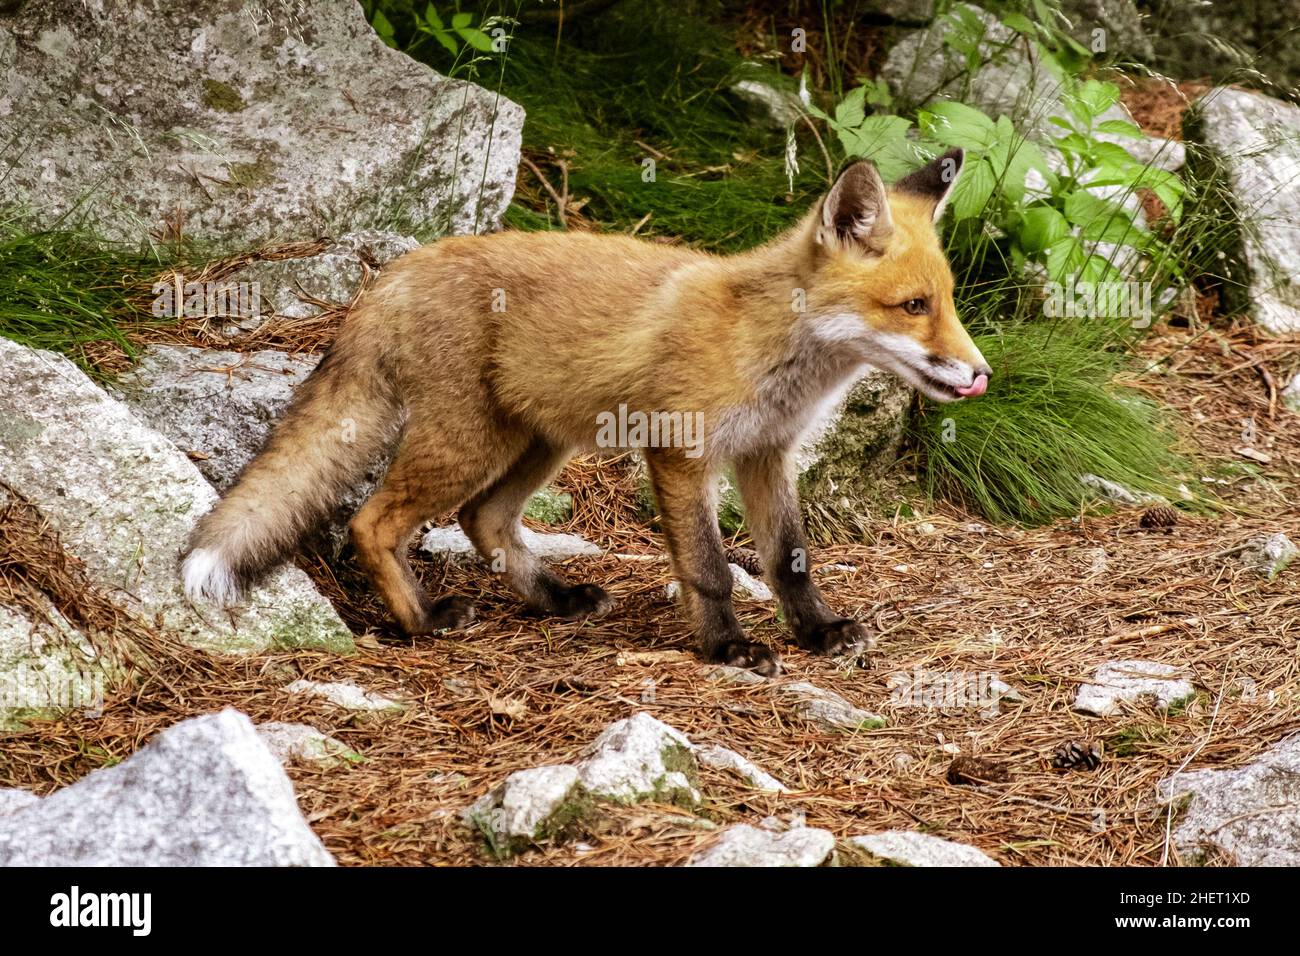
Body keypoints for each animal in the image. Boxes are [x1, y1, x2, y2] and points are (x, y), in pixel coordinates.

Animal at [182, 148, 990, 676]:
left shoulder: (768, 454)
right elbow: (710, 568)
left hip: (539, 442)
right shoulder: (681, 452)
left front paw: (818, 631)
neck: (765, 349)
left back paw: (553, 598)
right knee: (372, 524)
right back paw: (424, 620)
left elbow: (791, 561)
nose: (981, 375)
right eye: (913, 306)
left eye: (947, 302)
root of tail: (393, 274)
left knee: (485, 519)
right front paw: (726, 647)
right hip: (468, 442)